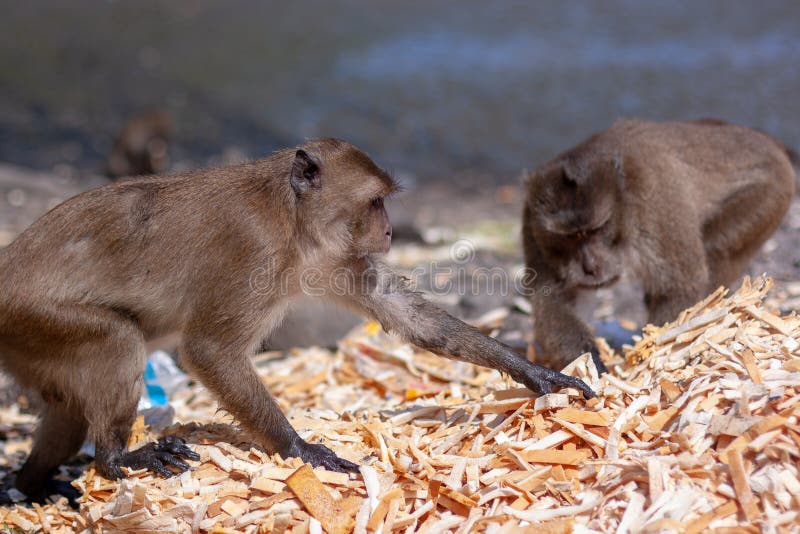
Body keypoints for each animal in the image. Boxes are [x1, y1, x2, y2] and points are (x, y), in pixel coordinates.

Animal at [0, 138, 594, 499]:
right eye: (375, 202)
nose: (389, 231)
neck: (290, 218)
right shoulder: (254, 247)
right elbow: (209, 351)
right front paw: (299, 449)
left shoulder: (336, 258)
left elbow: (413, 320)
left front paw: (538, 375)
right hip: (35, 317)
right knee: (118, 338)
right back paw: (114, 459)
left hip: (29, 339)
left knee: (66, 405)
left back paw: (30, 484)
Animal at [522, 118, 796, 371]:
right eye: (570, 237)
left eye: (596, 230)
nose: (590, 267)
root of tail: (769, 142)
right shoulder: (533, 226)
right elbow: (555, 300)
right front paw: (588, 365)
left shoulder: (652, 197)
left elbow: (679, 287)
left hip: (771, 192)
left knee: (715, 251)